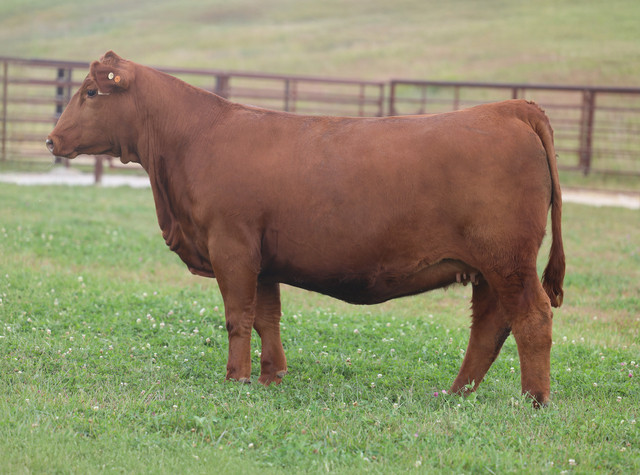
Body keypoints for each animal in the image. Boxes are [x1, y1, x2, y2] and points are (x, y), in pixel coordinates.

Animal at [47, 52, 565, 406]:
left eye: (90, 92)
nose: (50, 139)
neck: (192, 138)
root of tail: (507, 108)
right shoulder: (262, 259)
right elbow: (266, 317)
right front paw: (270, 376)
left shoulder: (231, 246)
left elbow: (238, 316)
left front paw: (235, 378)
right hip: (488, 268)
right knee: (489, 327)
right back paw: (456, 394)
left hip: (508, 260)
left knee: (532, 318)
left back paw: (534, 400)